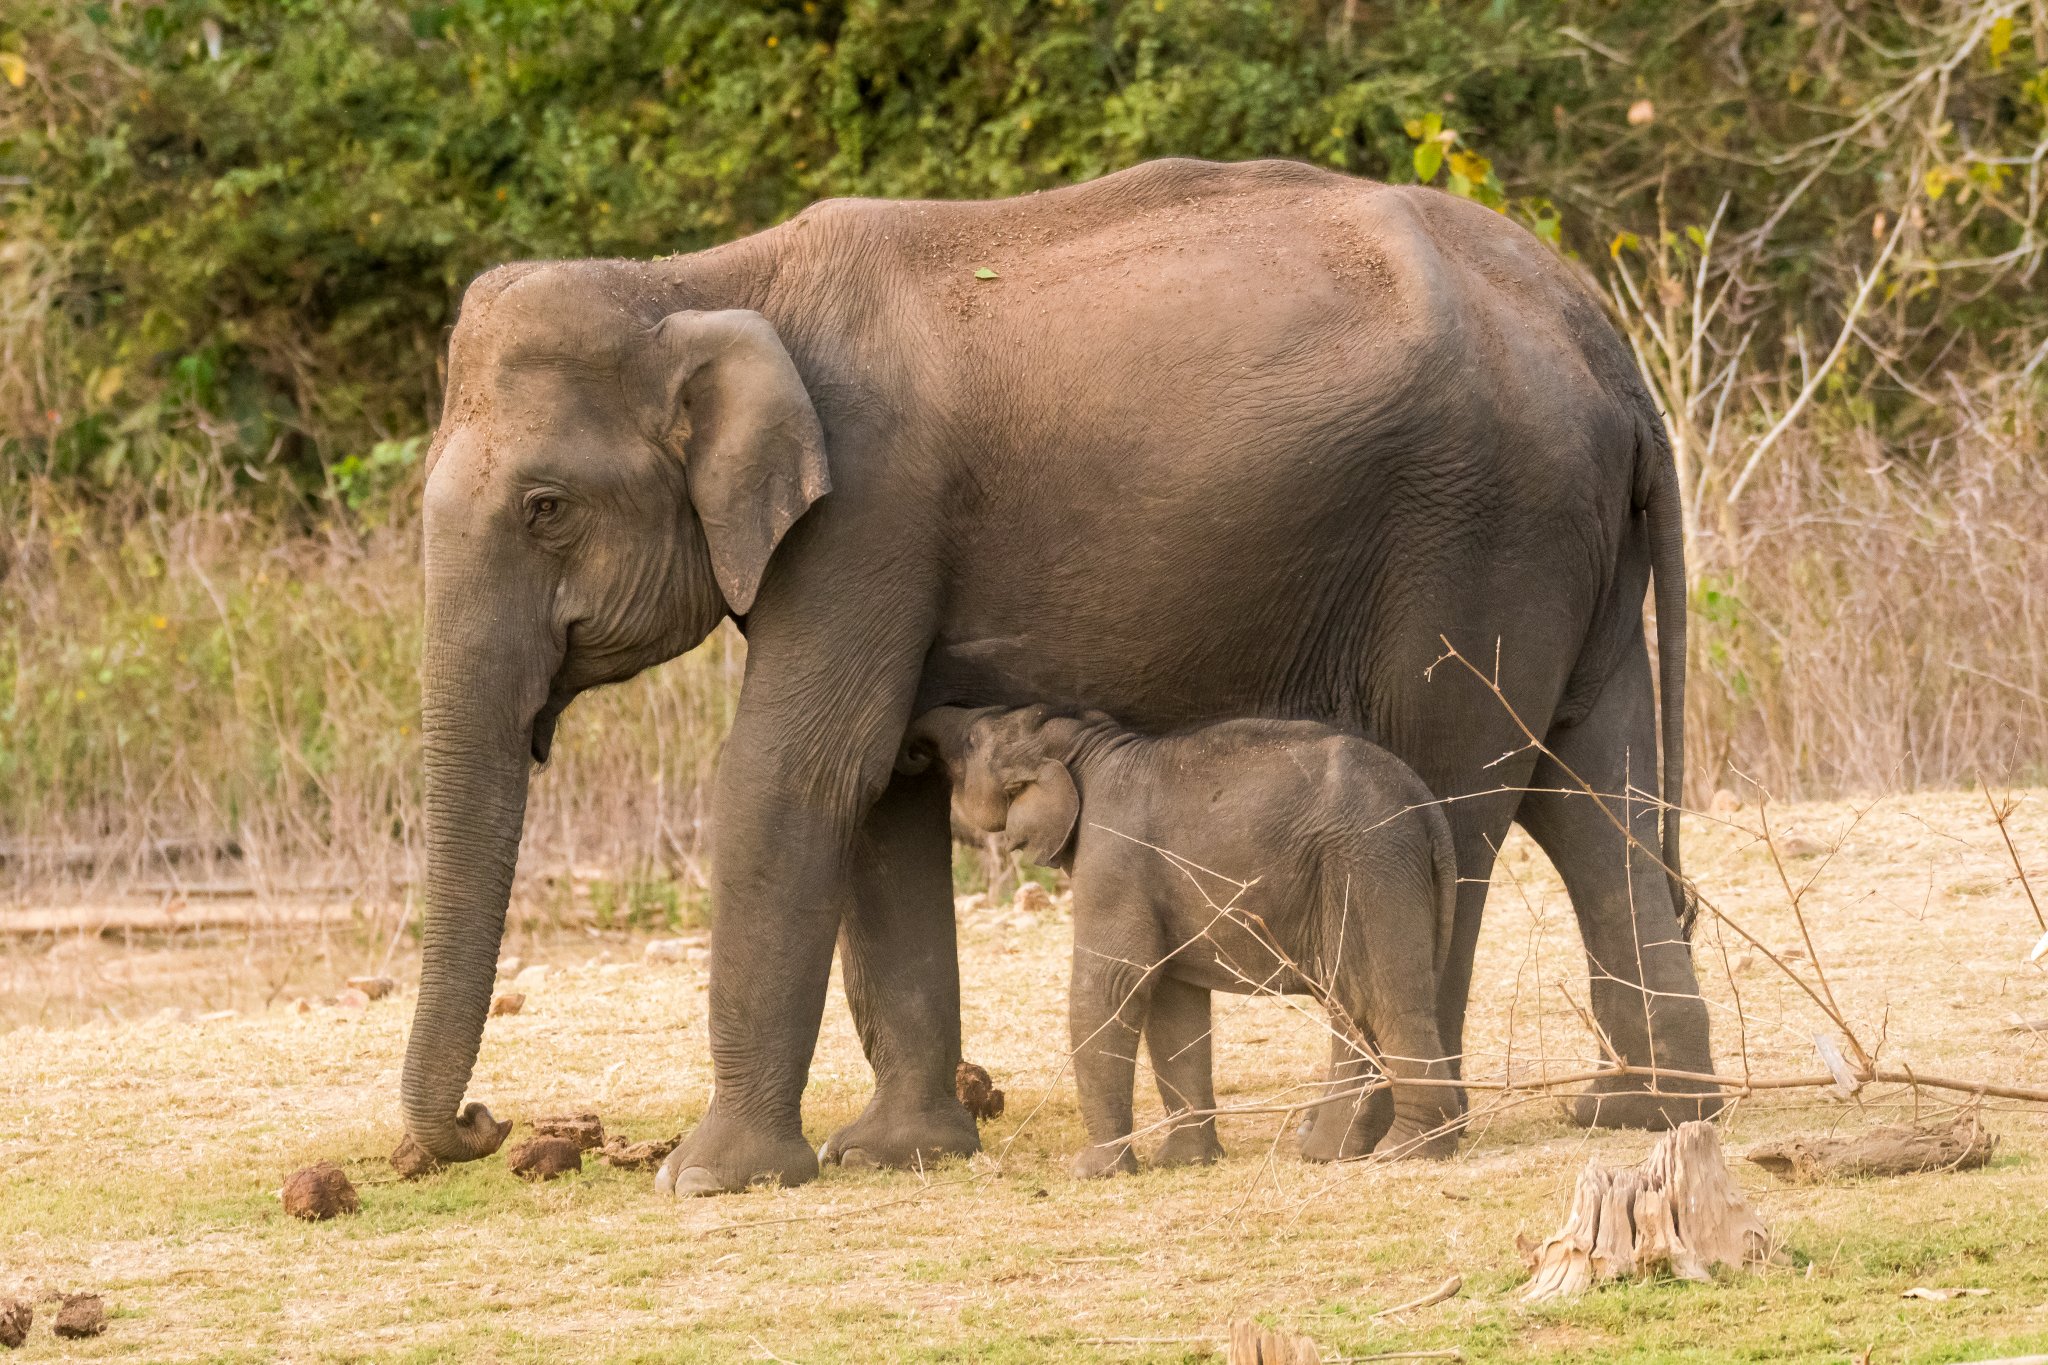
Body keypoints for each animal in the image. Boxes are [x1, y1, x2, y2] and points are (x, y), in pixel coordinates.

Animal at [902, 704, 1465, 1175]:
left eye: (970, 742)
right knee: (1349, 1008)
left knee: (1385, 1005)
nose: (911, 750)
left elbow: (1111, 985)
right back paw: (1330, 1154)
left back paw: (1406, 1151)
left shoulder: (1112, 857)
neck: (1082, 743)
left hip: (1368, 866)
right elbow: (1174, 1008)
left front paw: (1093, 1172)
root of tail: (1426, 805)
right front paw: (1185, 1162)